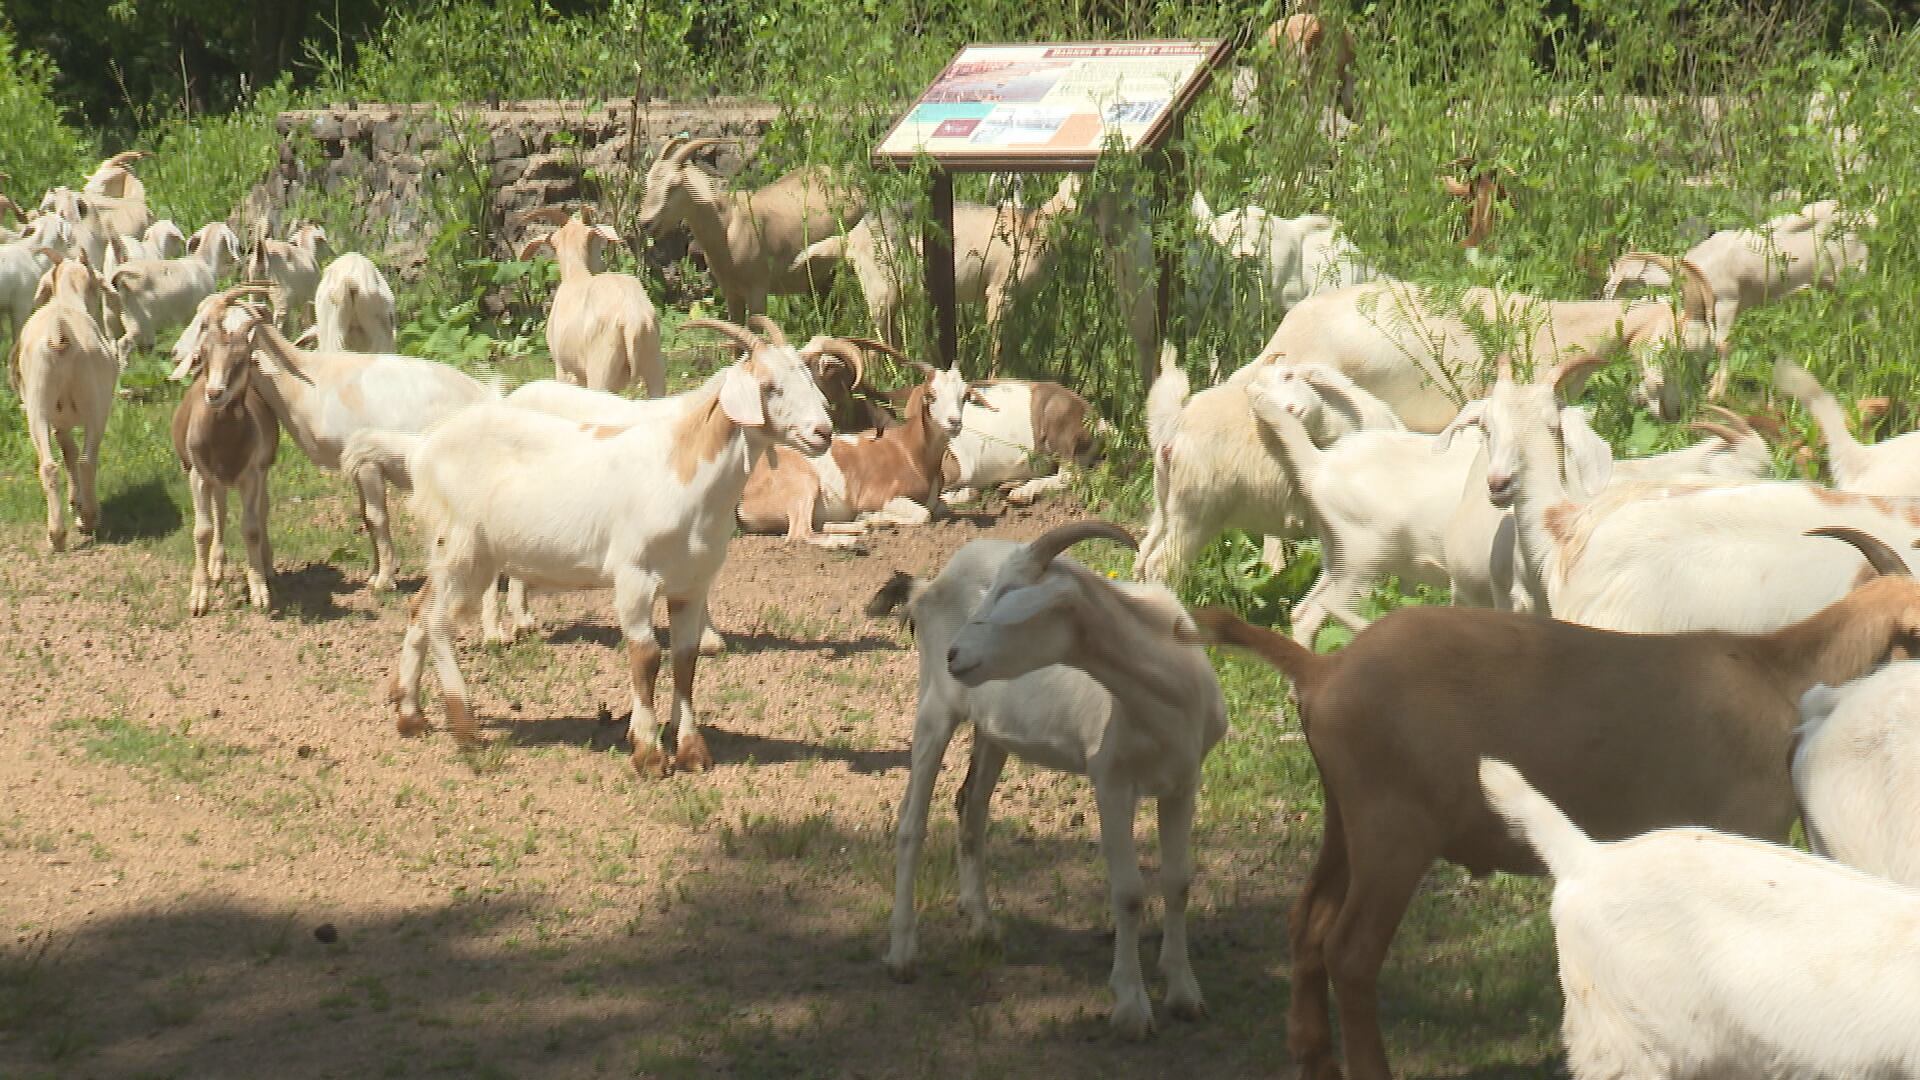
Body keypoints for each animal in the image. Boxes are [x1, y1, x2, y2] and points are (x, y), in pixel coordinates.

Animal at [13, 254, 120, 550]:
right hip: (95, 405)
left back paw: (57, 535)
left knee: (49, 466)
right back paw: (88, 520)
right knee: (86, 461)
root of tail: (60, 331)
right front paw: (78, 505)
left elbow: (67, 452)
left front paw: (75, 503)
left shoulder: (59, 421)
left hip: (37, 407)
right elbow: (72, 454)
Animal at [169, 290, 279, 615]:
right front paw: (199, 597)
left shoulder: (251, 475)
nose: (215, 393)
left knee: (262, 509)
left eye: (241, 359)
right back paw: (216, 568)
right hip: (215, 481)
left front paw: (260, 591)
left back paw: (266, 565)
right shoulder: (198, 475)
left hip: (260, 472)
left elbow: (252, 527)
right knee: (219, 511)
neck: (224, 444)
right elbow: (203, 530)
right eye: (204, 355)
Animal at [345, 318, 833, 773]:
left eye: (810, 380)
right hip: (463, 548)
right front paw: (648, 753)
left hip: (455, 553)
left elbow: (685, 660)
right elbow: (646, 657)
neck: (682, 470)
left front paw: (692, 752)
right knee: (439, 622)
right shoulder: (634, 577)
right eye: (770, 387)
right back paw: (465, 727)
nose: (823, 432)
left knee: (420, 609)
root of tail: (421, 449)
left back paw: (411, 715)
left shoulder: (691, 584)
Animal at [636, 136, 865, 324]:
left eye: (674, 185)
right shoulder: (731, 292)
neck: (727, 226)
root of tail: (852, 189)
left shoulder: (758, 290)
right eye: (648, 181)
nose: (645, 222)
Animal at [870, 521, 1226, 1039]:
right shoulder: (1111, 781)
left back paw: (982, 924)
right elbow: (1129, 893)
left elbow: (1178, 882)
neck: (1165, 692)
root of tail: (928, 586)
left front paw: (1184, 994)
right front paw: (1131, 1006)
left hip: (993, 729)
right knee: (911, 822)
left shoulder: (1184, 781)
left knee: (970, 805)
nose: (957, 653)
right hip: (936, 704)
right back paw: (902, 954)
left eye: (1009, 595)